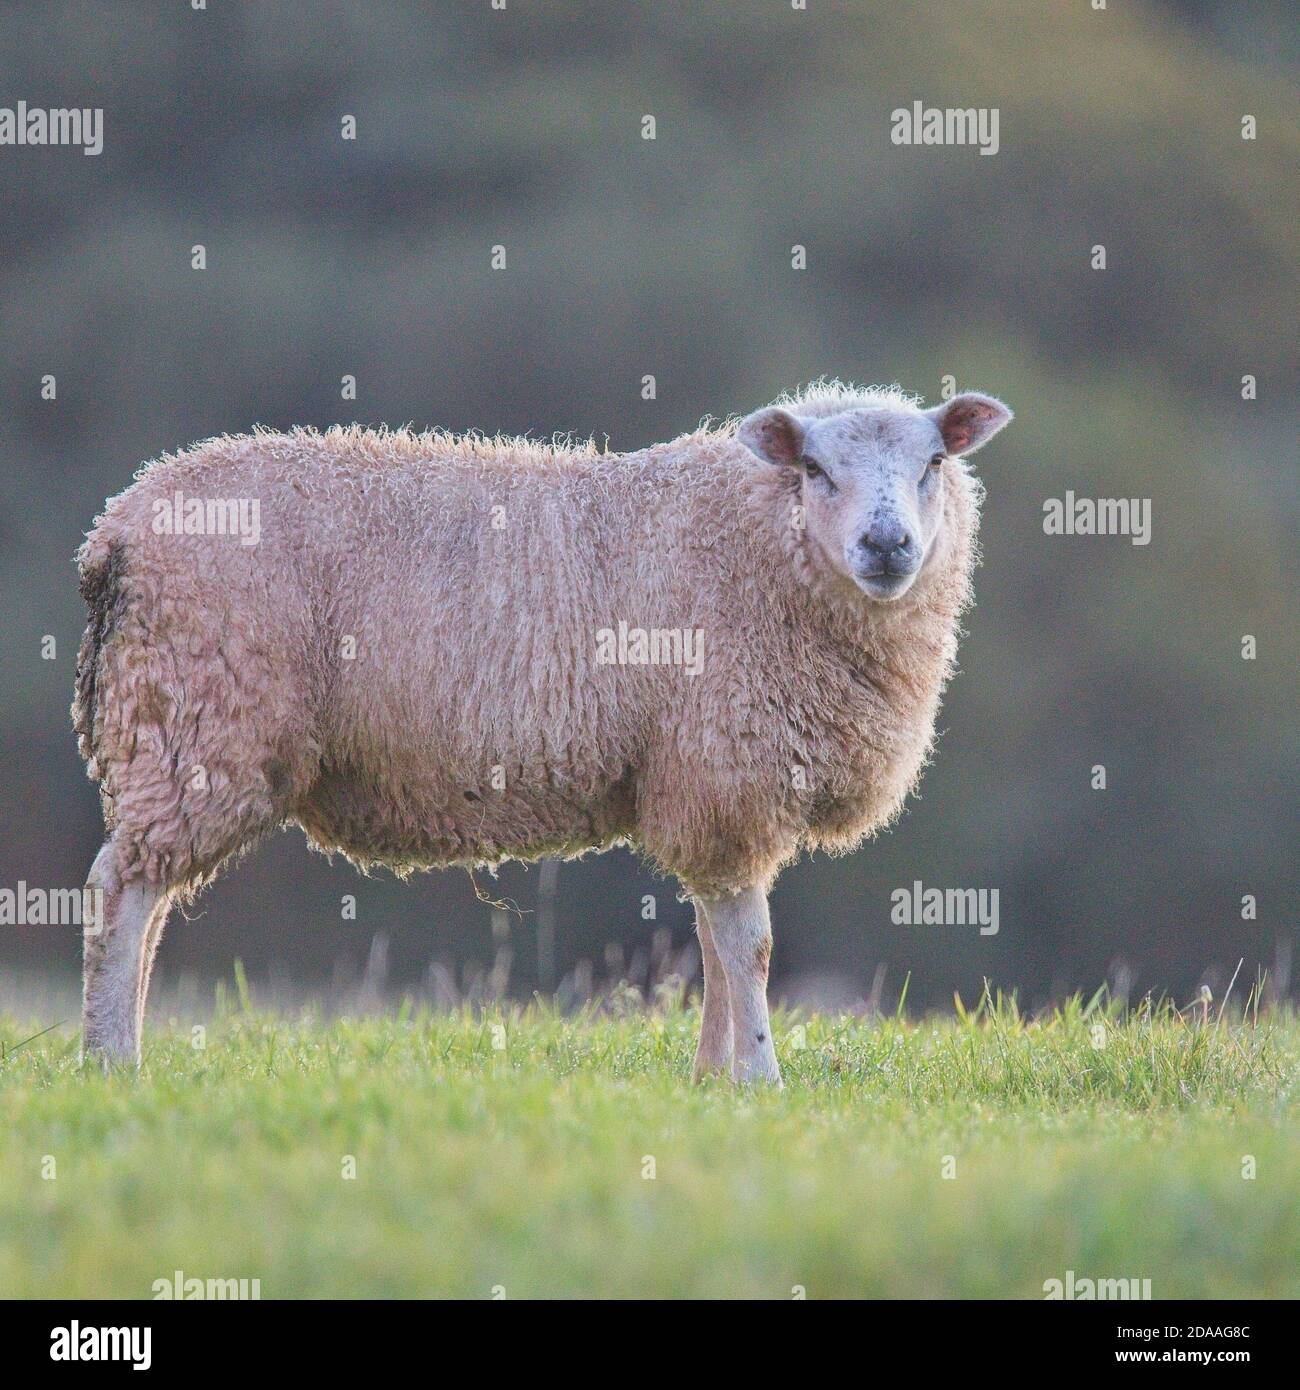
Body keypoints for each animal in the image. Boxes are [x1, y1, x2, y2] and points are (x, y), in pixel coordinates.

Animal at [73, 382, 1012, 1079]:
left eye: (934, 461)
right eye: (815, 468)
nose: (887, 545)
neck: (760, 546)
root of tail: (114, 529)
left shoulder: (698, 784)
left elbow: (715, 946)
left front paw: (711, 1079)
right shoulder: (722, 772)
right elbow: (751, 946)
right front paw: (757, 1076)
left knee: (145, 898)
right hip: (200, 720)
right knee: (120, 890)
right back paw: (111, 1062)